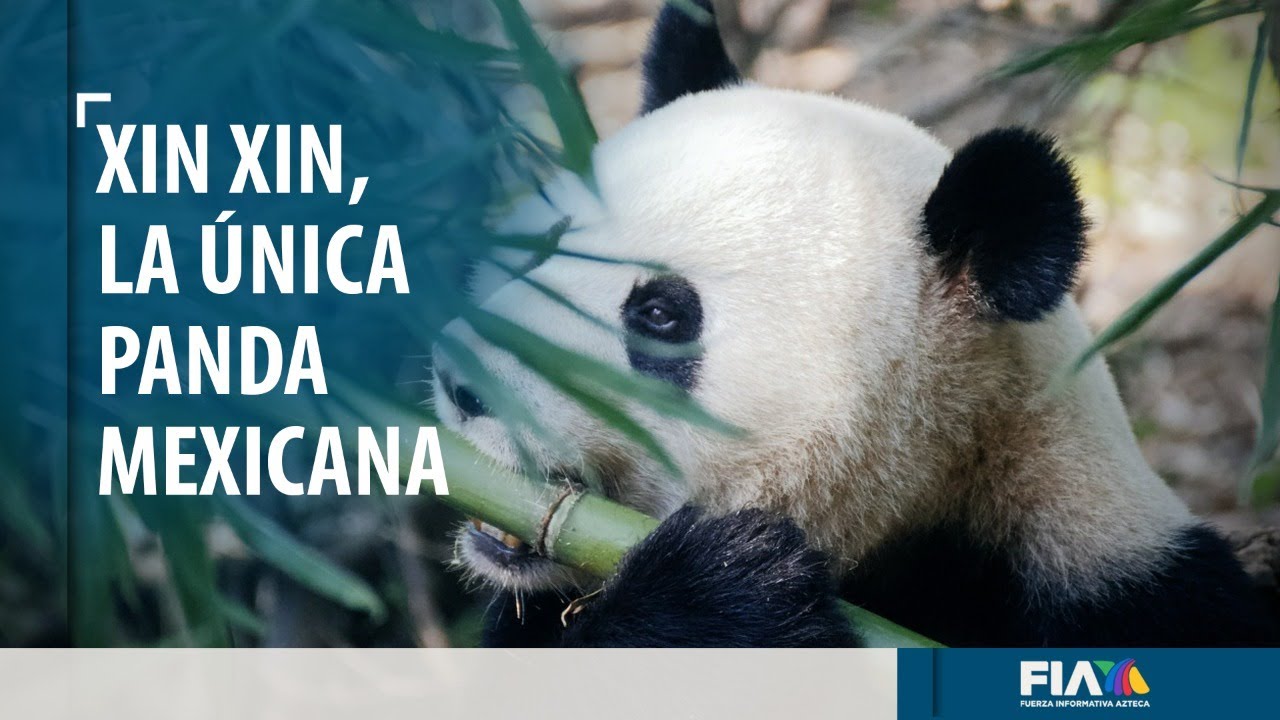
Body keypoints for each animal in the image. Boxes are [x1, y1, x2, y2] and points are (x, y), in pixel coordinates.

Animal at [431, 0, 1279, 647]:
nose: (462, 383)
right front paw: (724, 589)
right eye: (543, 243)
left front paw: (726, 587)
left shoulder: (1118, 585)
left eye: (661, 315)